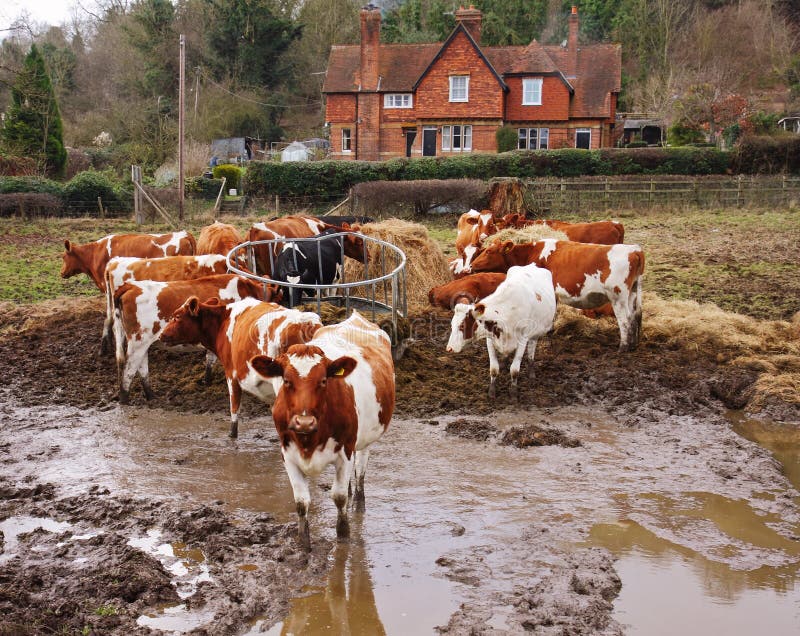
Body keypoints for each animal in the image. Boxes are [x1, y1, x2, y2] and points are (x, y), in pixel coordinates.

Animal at [113, 274, 270, 405]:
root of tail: (130, 286)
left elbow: (210, 359)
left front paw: (207, 381)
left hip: (142, 344)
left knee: (142, 369)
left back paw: (151, 397)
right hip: (138, 343)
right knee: (128, 372)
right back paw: (125, 401)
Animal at [160, 296, 323, 438]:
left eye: (177, 316)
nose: (161, 335)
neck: (223, 321)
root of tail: (303, 322)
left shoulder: (231, 374)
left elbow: (234, 409)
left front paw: (232, 435)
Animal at [248, 311, 395, 550]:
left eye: (324, 380)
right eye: (286, 380)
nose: (304, 422)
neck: (310, 440)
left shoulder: (345, 452)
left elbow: (339, 498)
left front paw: (343, 536)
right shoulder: (288, 454)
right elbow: (301, 502)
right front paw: (303, 544)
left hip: (365, 439)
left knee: (360, 471)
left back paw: (359, 503)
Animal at [446, 264, 556, 399]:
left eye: (462, 325)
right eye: (452, 324)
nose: (449, 348)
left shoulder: (523, 339)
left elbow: (514, 370)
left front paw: (513, 392)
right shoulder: (490, 339)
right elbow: (494, 369)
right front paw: (492, 391)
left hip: (535, 333)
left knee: (531, 351)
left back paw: (531, 372)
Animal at [469, 239, 645, 352]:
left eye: (489, 251)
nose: (471, 265)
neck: (531, 254)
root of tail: (634, 250)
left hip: (618, 296)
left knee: (625, 320)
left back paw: (623, 347)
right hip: (634, 291)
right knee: (636, 314)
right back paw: (634, 344)